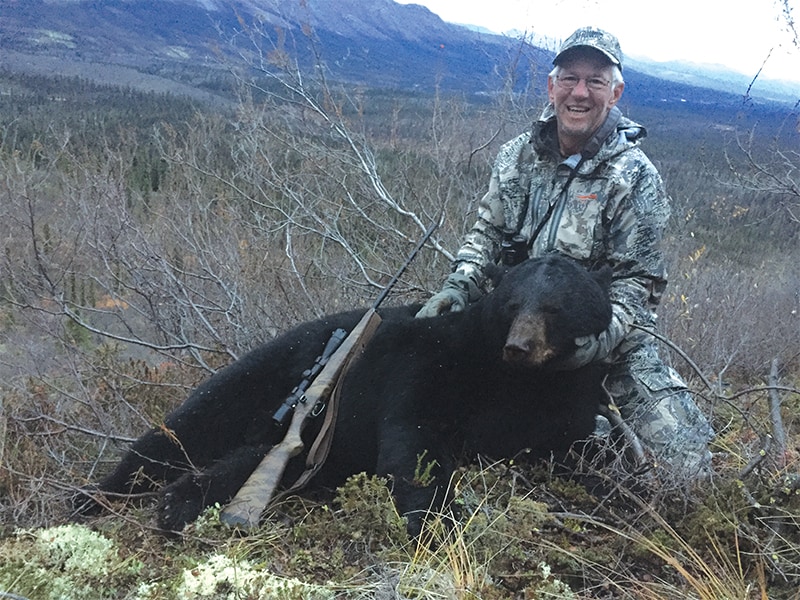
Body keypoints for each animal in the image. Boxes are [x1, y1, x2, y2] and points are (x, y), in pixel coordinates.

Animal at [74, 254, 613, 536]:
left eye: (556, 308)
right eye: (514, 303)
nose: (519, 346)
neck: (510, 378)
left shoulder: (563, 401)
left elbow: (572, 446)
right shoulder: (422, 365)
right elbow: (411, 441)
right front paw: (439, 521)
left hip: (312, 445)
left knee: (243, 459)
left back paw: (180, 503)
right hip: (260, 374)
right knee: (183, 430)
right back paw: (98, 499)